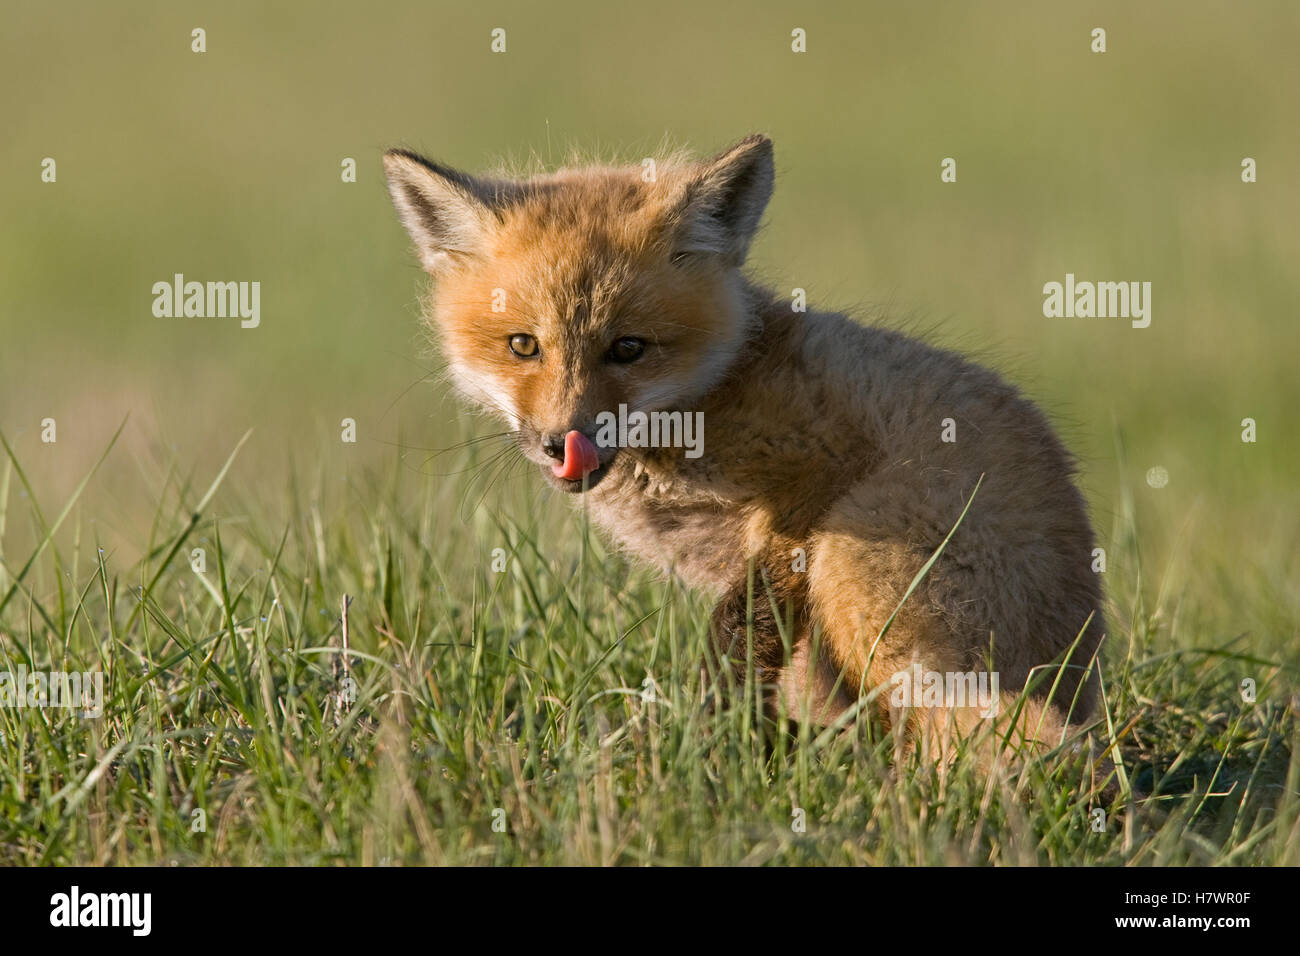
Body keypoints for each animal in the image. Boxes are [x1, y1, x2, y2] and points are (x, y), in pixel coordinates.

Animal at [383, 135, 1110, 780]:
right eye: (523, 345)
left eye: (628, 348)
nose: (564, 442)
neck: (718, 391)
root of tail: (1085, 661)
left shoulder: (815, 476)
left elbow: (738, 628)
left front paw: (711, 737)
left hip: (855, 571)